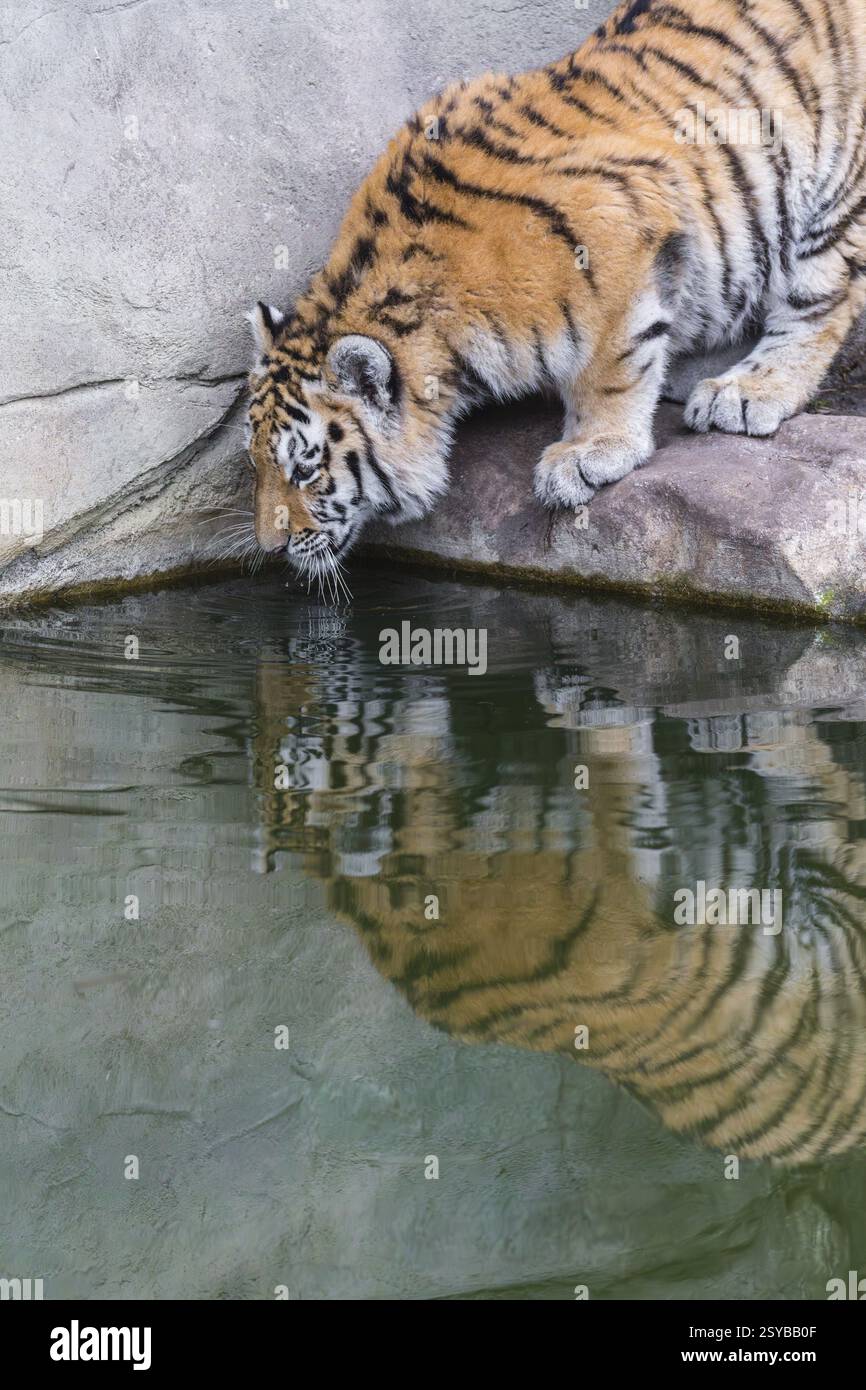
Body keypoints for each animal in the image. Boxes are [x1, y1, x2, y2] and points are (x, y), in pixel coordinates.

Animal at [244, 0, 866, 588]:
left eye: (306, 470)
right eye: (255, 465)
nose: (272, 550)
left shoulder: (620, 237)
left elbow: (611, 367)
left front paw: (589, 453)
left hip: (836, 186)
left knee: (820, 304)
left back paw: (744, 391)